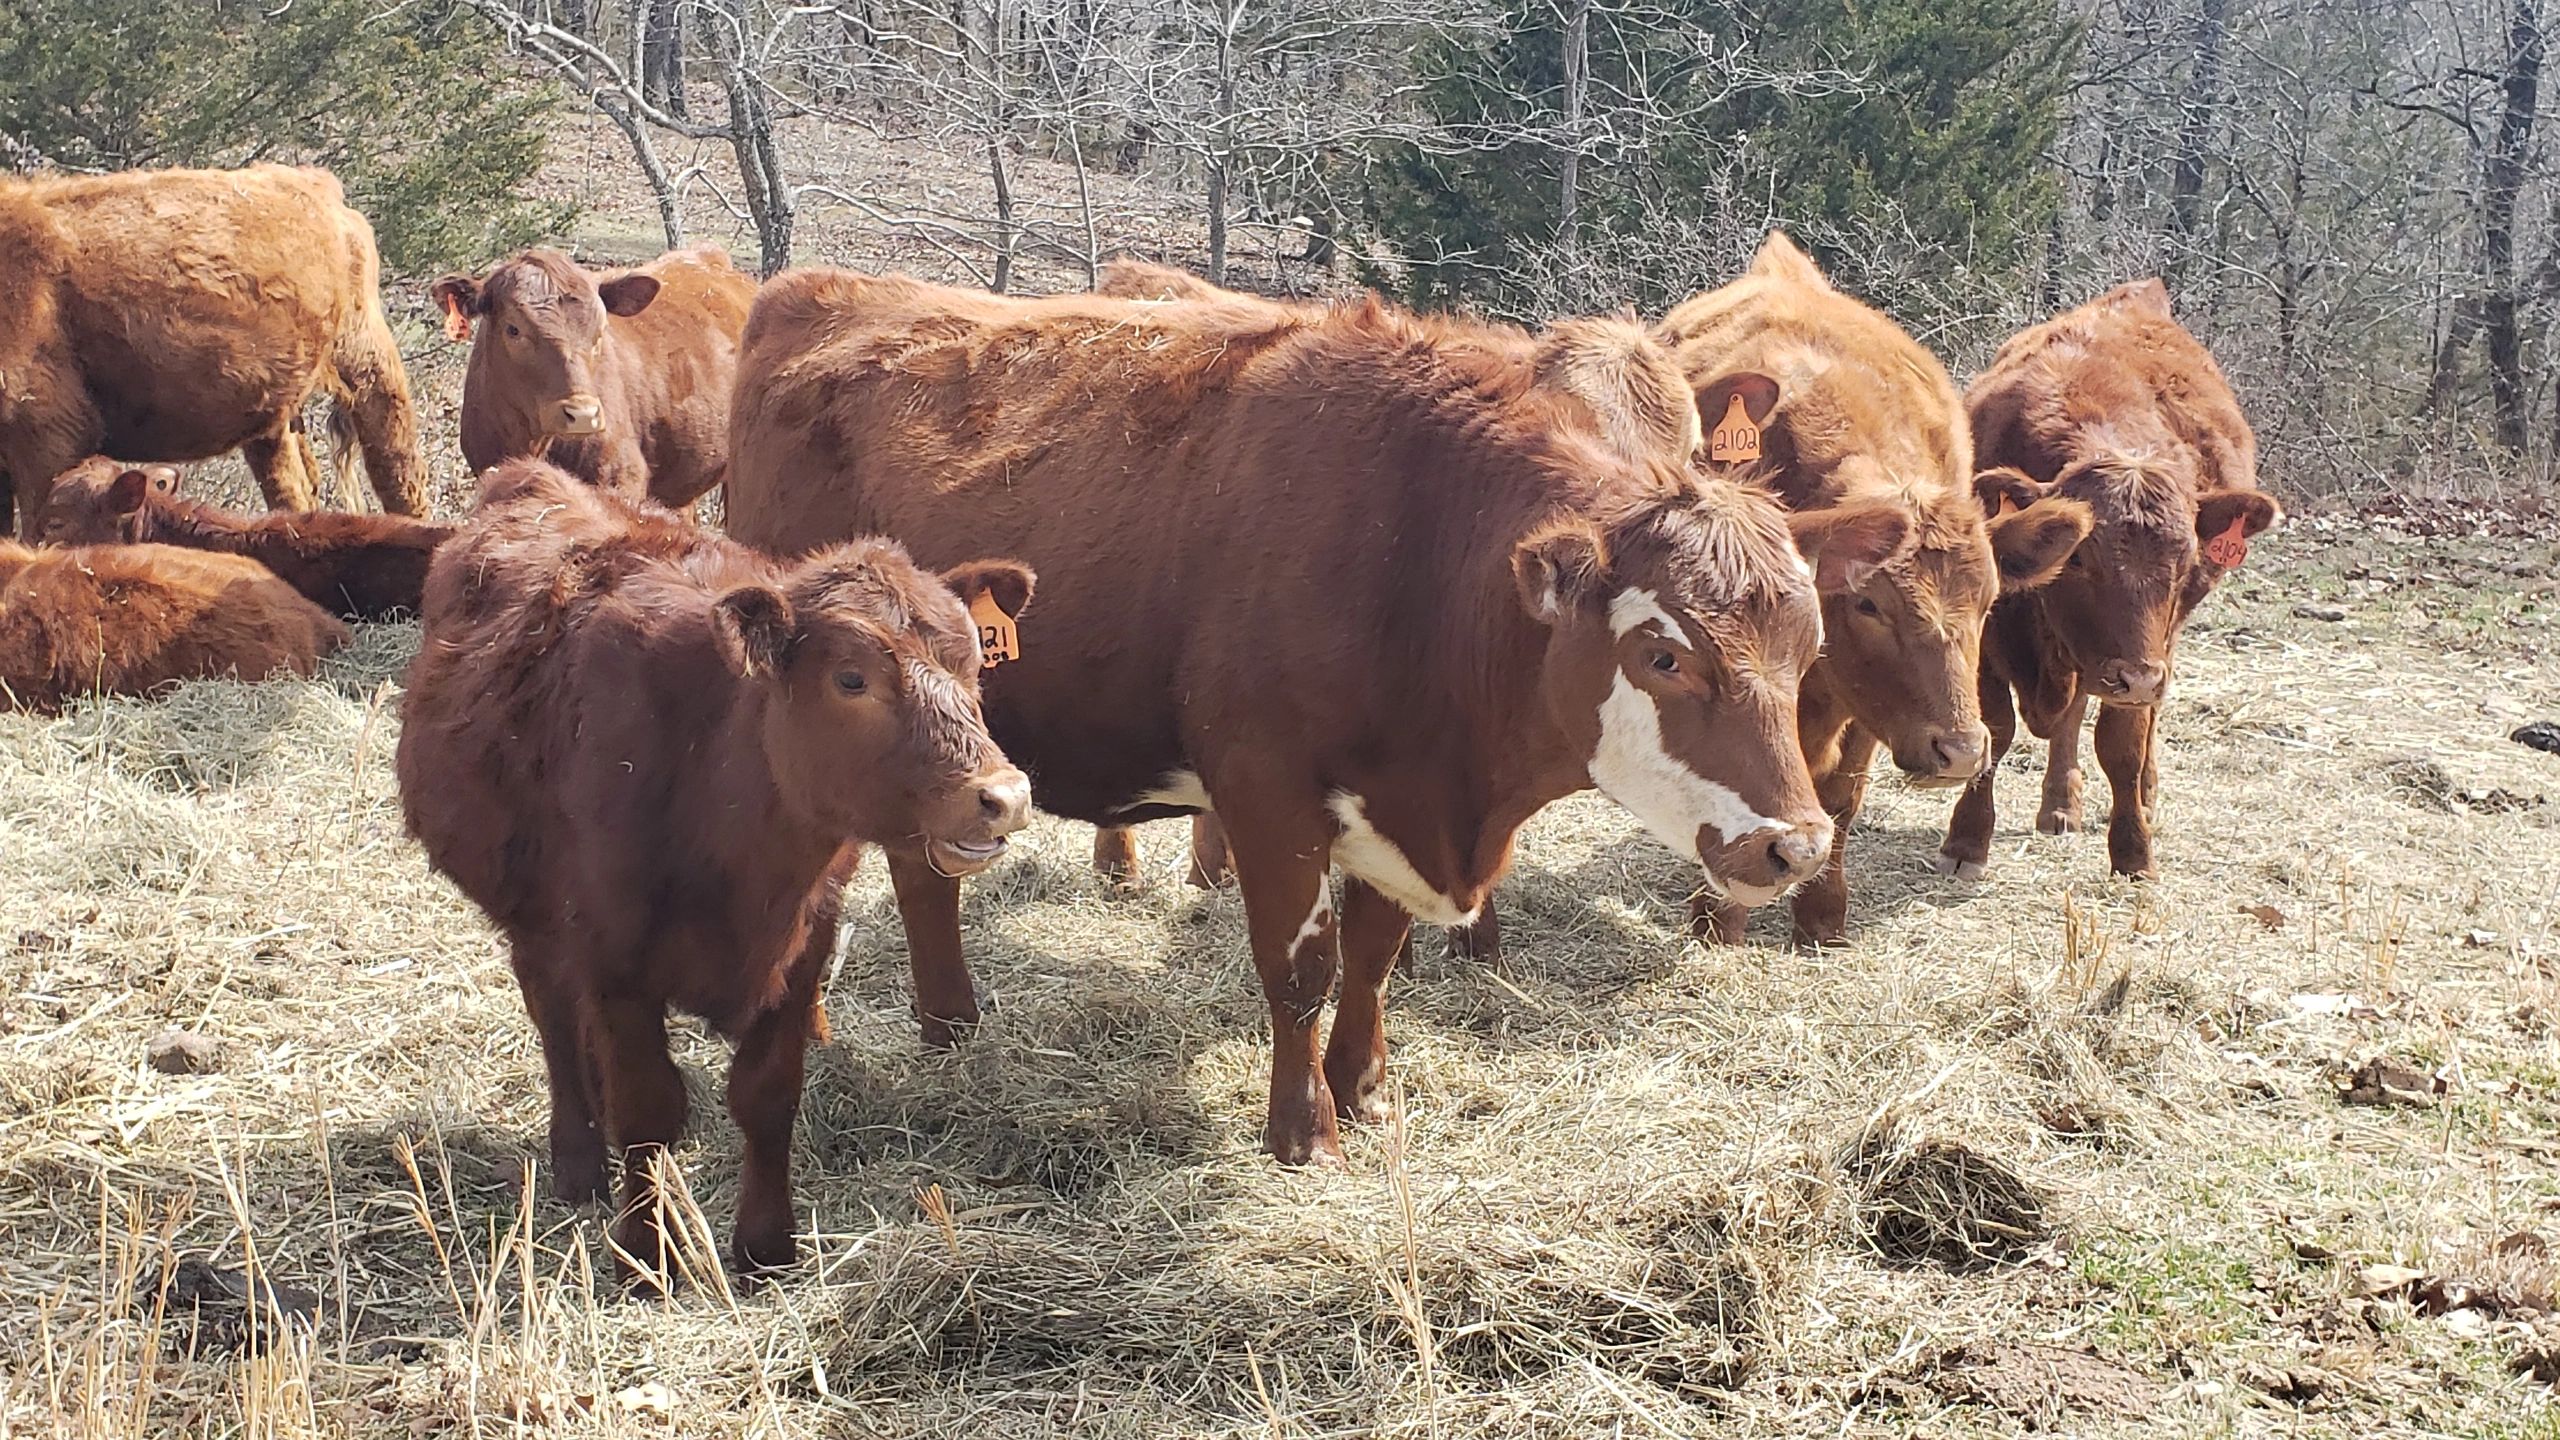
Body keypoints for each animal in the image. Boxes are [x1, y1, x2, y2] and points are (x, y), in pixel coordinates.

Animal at [0, 164, 428, 537]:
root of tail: (315, 183)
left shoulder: (50, 439)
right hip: (274, 421)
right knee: (295, 491)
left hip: (369, 366)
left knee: (400, 475)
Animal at [395, 459, 1035, 1278]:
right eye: (851, 678)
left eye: (974, 660)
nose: (1003, 796)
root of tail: (531, 474)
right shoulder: (612, 957)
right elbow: (646, 1109)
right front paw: (646, 1255)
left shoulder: (804, 944)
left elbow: (767, 1096)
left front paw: (765, 1245)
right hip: (528, 913)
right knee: (552, 1014)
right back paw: (577, 1162)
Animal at [724, 270, 1914, 1166]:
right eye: (1663, 653)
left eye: (1805, 646)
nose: (1794, 844)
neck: (1416, 551)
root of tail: (822, 286)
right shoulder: (1267, 793)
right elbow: (1300, 967)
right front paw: (1306, 1129)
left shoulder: (1399, 799)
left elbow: (1375, 954)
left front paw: (1368, 1090)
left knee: (924, 873)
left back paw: (951, 1026)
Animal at [1646, 233, 2094, 946]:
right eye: (1867, 603)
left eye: (1988, 602)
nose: (1961, 751)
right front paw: (1718, 921)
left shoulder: (1861, 714)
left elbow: (1839, 799)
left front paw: (1822, 915)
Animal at [1937, 279, 2280, 882]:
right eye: (2077, 559)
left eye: (2186, 560)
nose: (2136, 678)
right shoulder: (1989, 633)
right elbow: (1994, 731)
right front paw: (1967, 840)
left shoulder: (2144, 654)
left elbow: (2122, 743)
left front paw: (2134, 850)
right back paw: (2061, 805)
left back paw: (2142, 792)